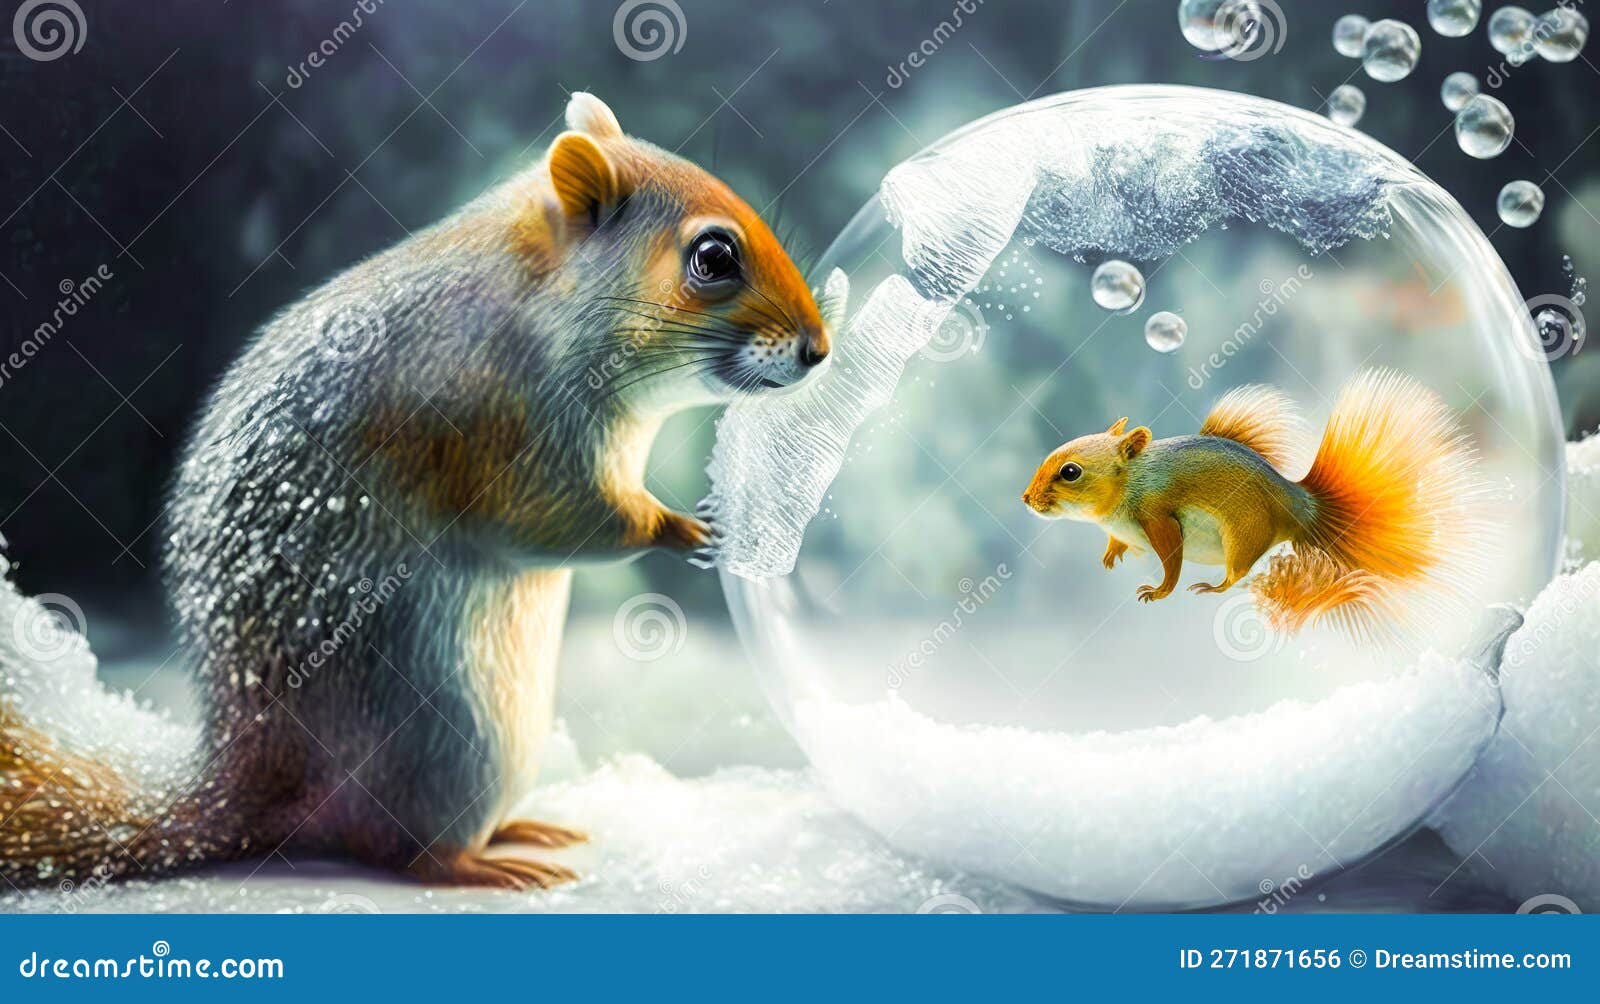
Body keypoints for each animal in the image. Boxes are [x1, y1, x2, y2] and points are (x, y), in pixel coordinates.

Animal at [0, 93, 828, 892]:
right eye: (714, 256)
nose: (819, 349)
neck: (540, 295)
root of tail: (253, 779)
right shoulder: (503, 427)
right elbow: (560, 521)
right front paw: (684, 528)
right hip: (452, 734)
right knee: (404, 851)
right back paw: (485, 865)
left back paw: (526, 829)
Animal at [1021, 369, 1483, 638]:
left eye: (1071, 472)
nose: (1026, 499)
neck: (1127, 490)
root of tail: (1300, 504)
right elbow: (1119, 544)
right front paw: (1112, 554)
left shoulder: (1160, 516)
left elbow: (1171, 560)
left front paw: (1159, 591)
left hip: (1243, 532)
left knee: (1238, 572)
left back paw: (1213, 587)